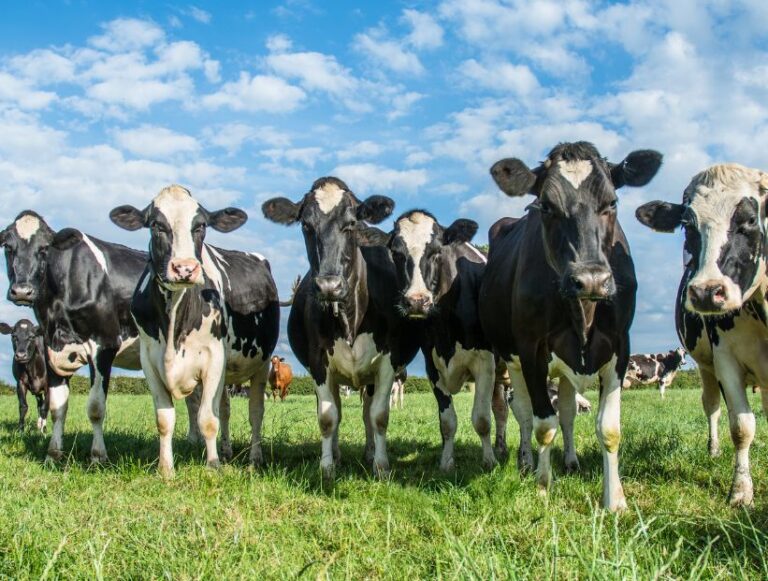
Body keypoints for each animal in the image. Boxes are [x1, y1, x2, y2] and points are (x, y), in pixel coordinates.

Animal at [110, 184, 279, 476]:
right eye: (156, 225)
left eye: (200, 226)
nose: (184, 268)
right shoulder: (149, 361)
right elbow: (165, 418)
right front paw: (166, 469)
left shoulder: (214, 359)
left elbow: (207, 419)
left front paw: (212, 466)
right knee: (225, 408)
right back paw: (227, 451)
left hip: (261, 364)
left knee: (255, 411)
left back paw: (254, 458)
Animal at [262, 176, 422, 478]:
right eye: (306, 225)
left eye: (351, 224)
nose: (329, 286)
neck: (349, 314)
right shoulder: (318, 361)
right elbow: (327, 417)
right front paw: (326, 467)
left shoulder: (388, 360)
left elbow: (379, 416)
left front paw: (381, 466)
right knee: (335, 407)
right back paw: (335, 454)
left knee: (367, 411)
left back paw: (370, 452)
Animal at [387, 210, 507, 469]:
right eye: (396, 253)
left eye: (436, 251)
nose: (416, 301)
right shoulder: (432, 366)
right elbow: (447, 422)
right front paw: (446, 462)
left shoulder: (485, 363)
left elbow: (482, 419)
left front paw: (488, 462)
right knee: (501, 409)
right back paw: (502, 448)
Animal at [479, 141, 662, 511]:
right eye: (546, 206)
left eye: (612, 202)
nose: (591, 279)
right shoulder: (531, 350)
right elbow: (542, 424)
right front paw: (542, 487)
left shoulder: (620, 346)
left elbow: (608, 427)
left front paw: (615, 499)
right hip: (510, 360)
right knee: (523, 414)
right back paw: (526, 462)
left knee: (567, 413)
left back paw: (571, 460)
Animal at [636, 163, 768, 507]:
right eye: (687, 225)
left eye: (750, 220)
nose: (707, 292)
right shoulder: (725, 360)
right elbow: (741, 426)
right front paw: (741, 492)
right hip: (709, 369)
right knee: (712, 406)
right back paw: (714, 449)